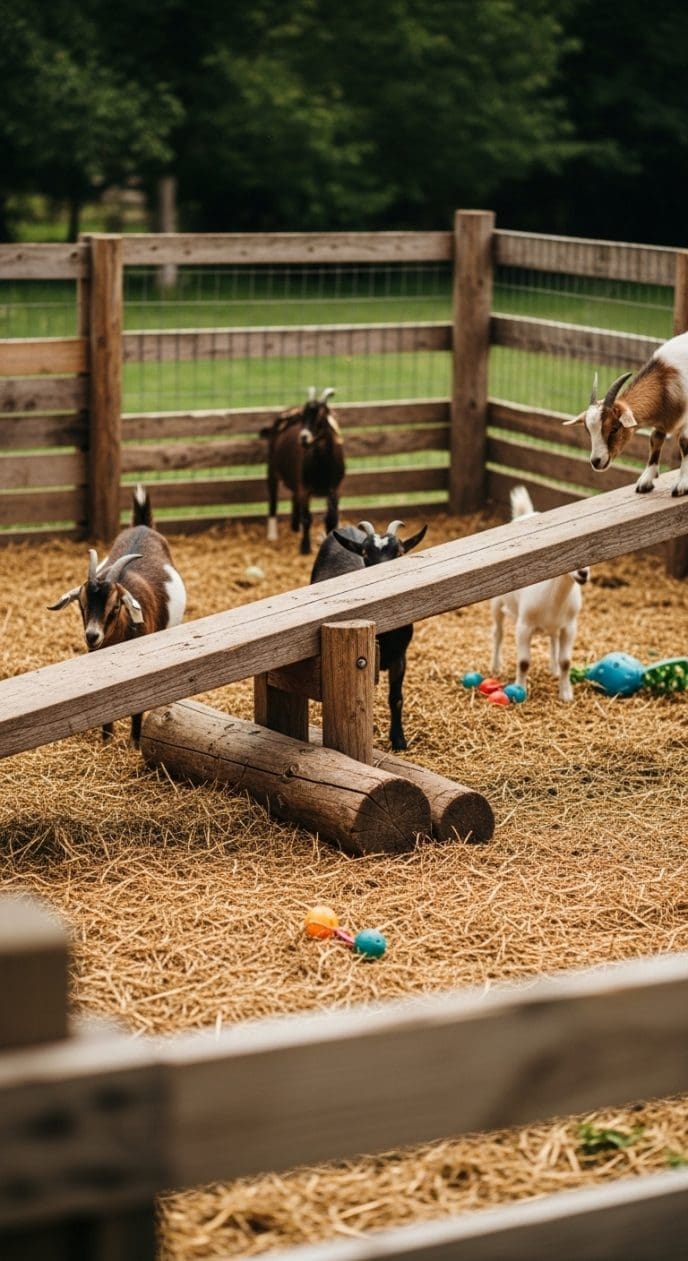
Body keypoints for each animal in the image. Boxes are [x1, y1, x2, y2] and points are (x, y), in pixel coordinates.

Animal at [48, 485, 186, 743]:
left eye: (115, 607)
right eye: (81, 605)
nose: (92, 636)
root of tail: (142, 525)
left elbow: (138, 707)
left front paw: (134, 742)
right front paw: (106, 739)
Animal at [261, 386, 345, 555]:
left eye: (321, 417)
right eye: (303, 417)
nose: (304, 438)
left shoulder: (334, 489)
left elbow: (331, 518)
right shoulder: (305, 489)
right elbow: (307, 518)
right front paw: (305, 547)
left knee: (294, 497)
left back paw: (295, 527)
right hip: (272, 469)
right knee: (273, 498)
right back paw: (273, 534)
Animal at [491, 487, 589, 702]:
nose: (583, 573)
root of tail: (526, 514)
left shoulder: (570, 626)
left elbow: (566, 661)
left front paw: (566, 694)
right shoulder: (524, 626)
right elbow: (524, 661)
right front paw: (520, 689)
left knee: (553, 639)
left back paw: (553, 669)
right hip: (496, 604)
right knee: (498, 633)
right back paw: (495, 666)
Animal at [564, 331, 688, 496]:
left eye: (614, 428)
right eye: (588, 431)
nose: (596, 461)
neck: (666, 380)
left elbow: (684, 442)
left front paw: (682, 484)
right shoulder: (663, 422)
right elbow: (655, 439)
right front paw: (645, 481)